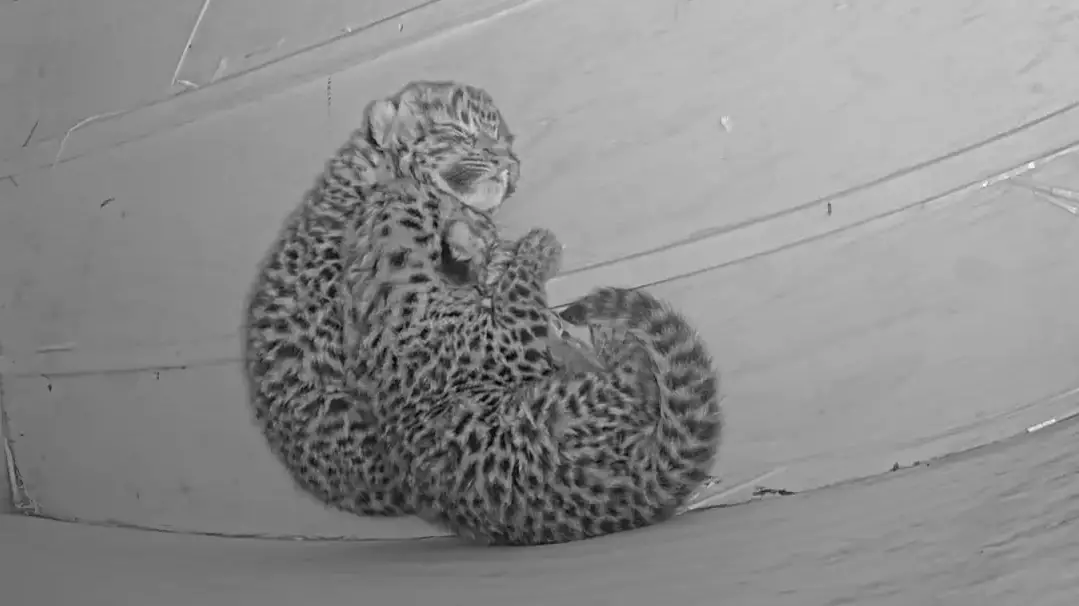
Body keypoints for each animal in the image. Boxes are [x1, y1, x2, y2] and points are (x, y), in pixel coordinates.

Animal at [340, 109, 723, 546]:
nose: (482, 219)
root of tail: (636, 494)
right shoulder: (508, 334)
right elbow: (517, 290)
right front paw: (535, 248)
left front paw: (494, 256)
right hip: (553, 411)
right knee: (637, 380)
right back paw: (610, 338)